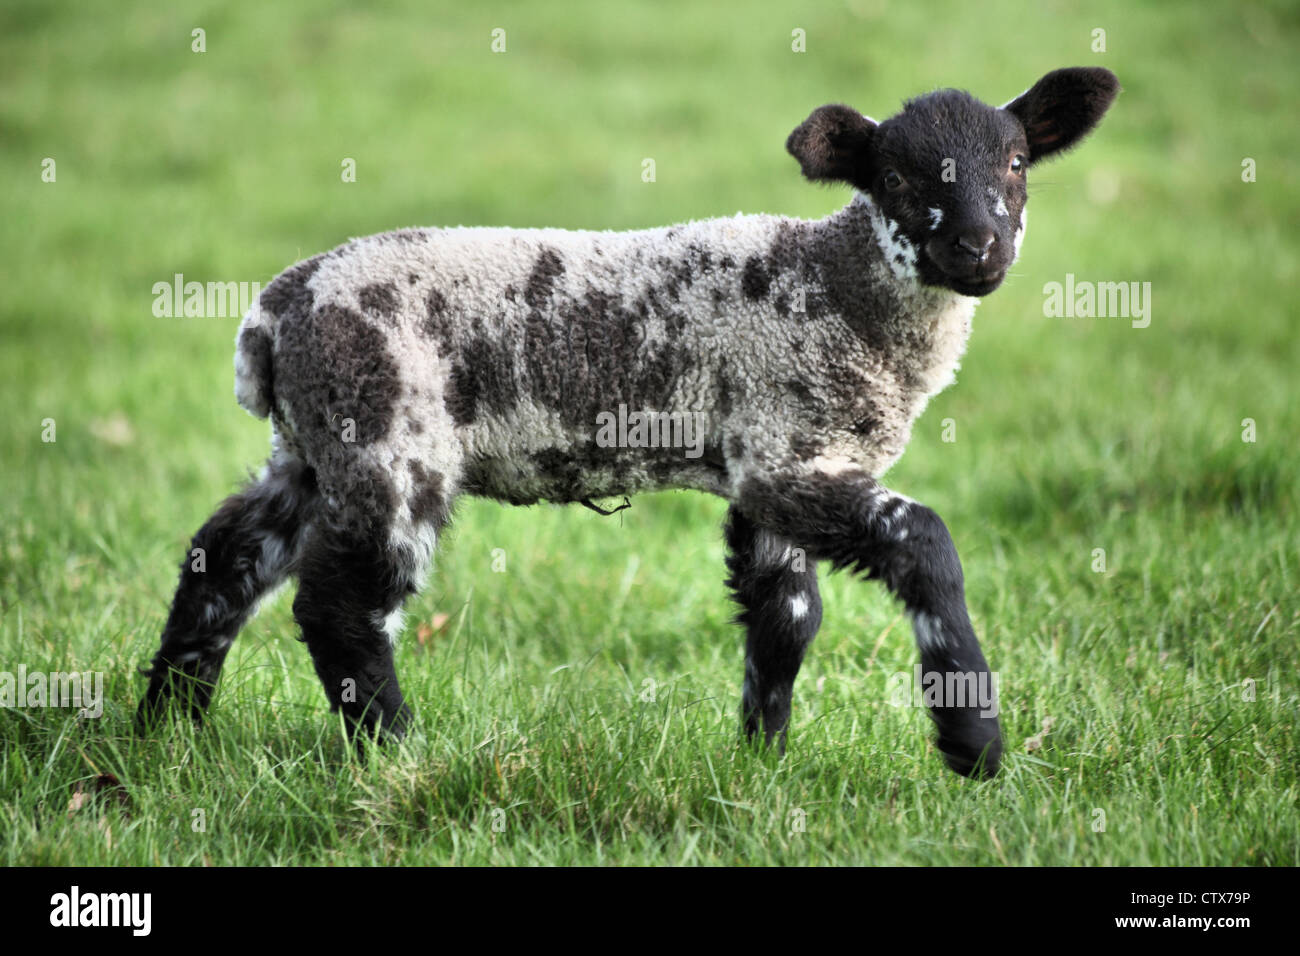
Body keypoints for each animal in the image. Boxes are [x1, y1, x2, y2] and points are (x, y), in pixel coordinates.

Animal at [138, 66, 1119, 779]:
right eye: (900, 176)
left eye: (1017, 164)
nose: (979, 248)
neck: (839, 286)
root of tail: (274, 314)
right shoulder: (787, 457)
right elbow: (925, 546)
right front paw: (973, 745)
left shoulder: (768, 456)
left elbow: (785, 617)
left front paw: (760, 763)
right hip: (385, 437)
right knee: (339, 604)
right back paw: (395, 752)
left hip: (309, 448)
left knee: (227, 556)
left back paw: (165, 731)